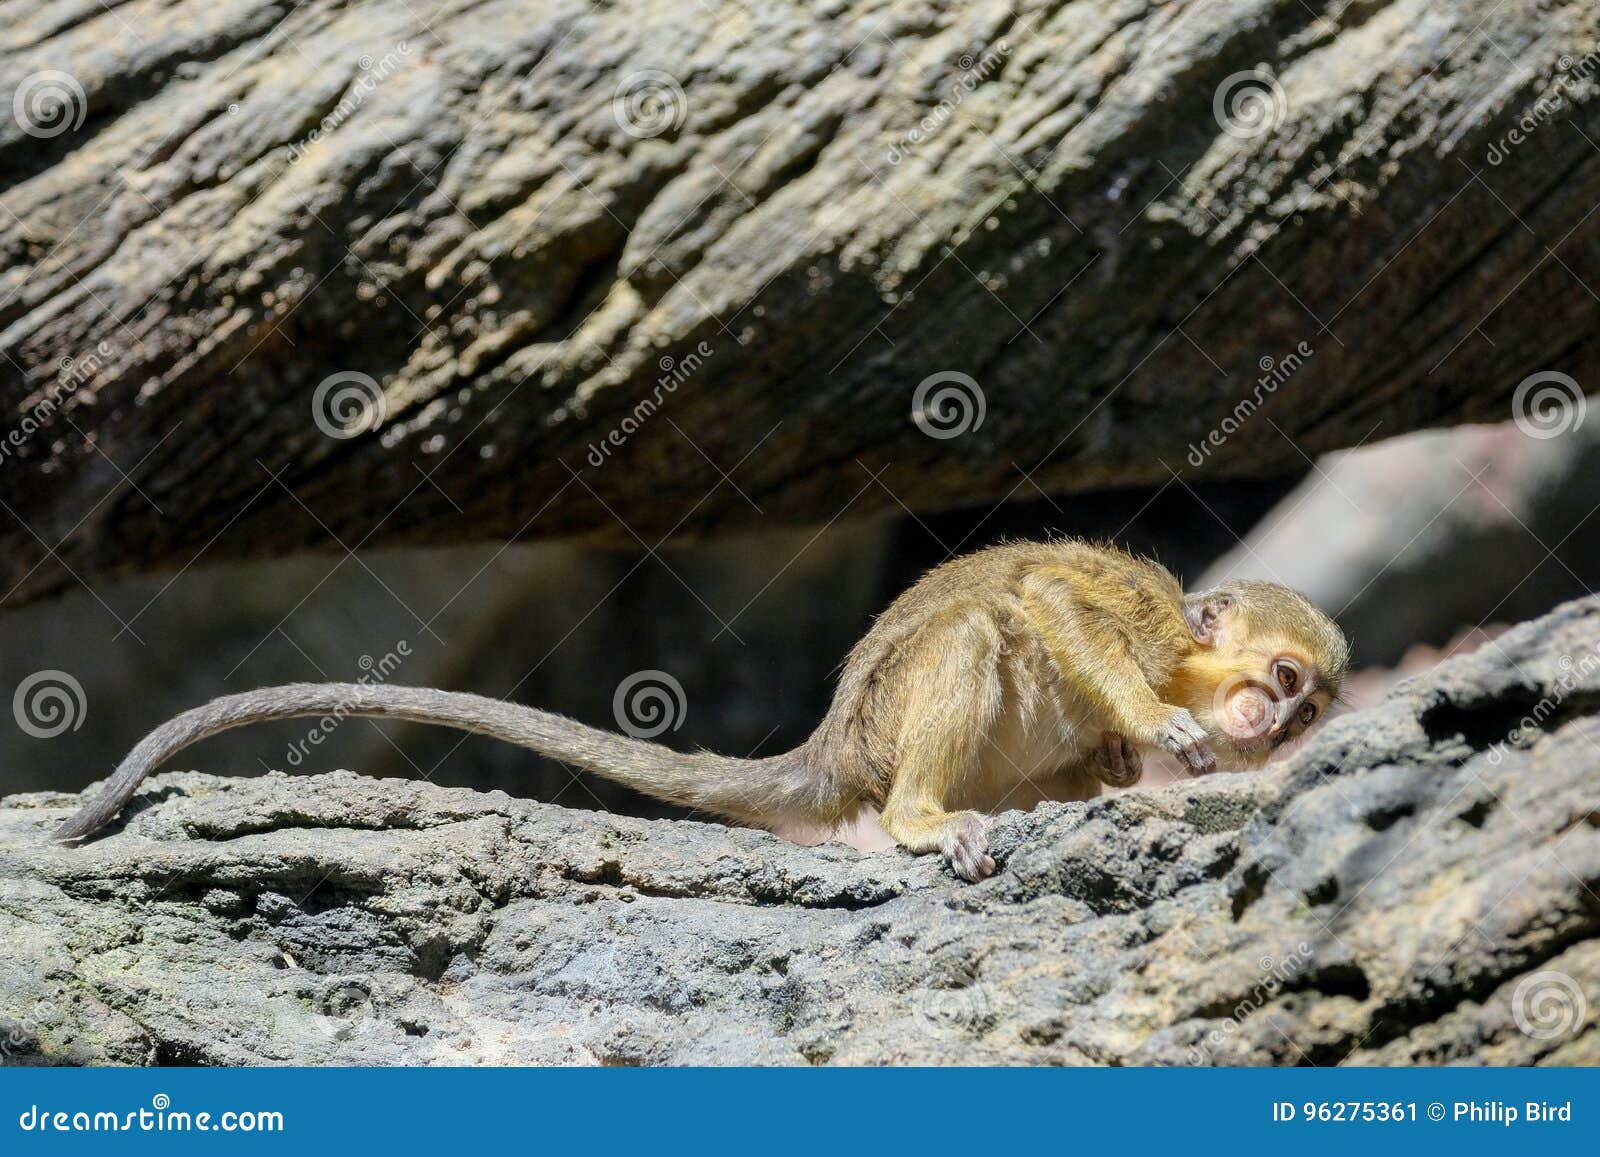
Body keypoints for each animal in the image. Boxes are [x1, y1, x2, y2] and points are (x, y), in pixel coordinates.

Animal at [53, 537, 1350, 883]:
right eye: (1286, 683)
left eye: (1307, 710)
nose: (1274, 725)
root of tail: (834, 747)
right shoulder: (1143, 615)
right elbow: (1043, 599)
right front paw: (1163, 727)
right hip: (887, 725)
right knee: (982, 630)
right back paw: (915, 818)